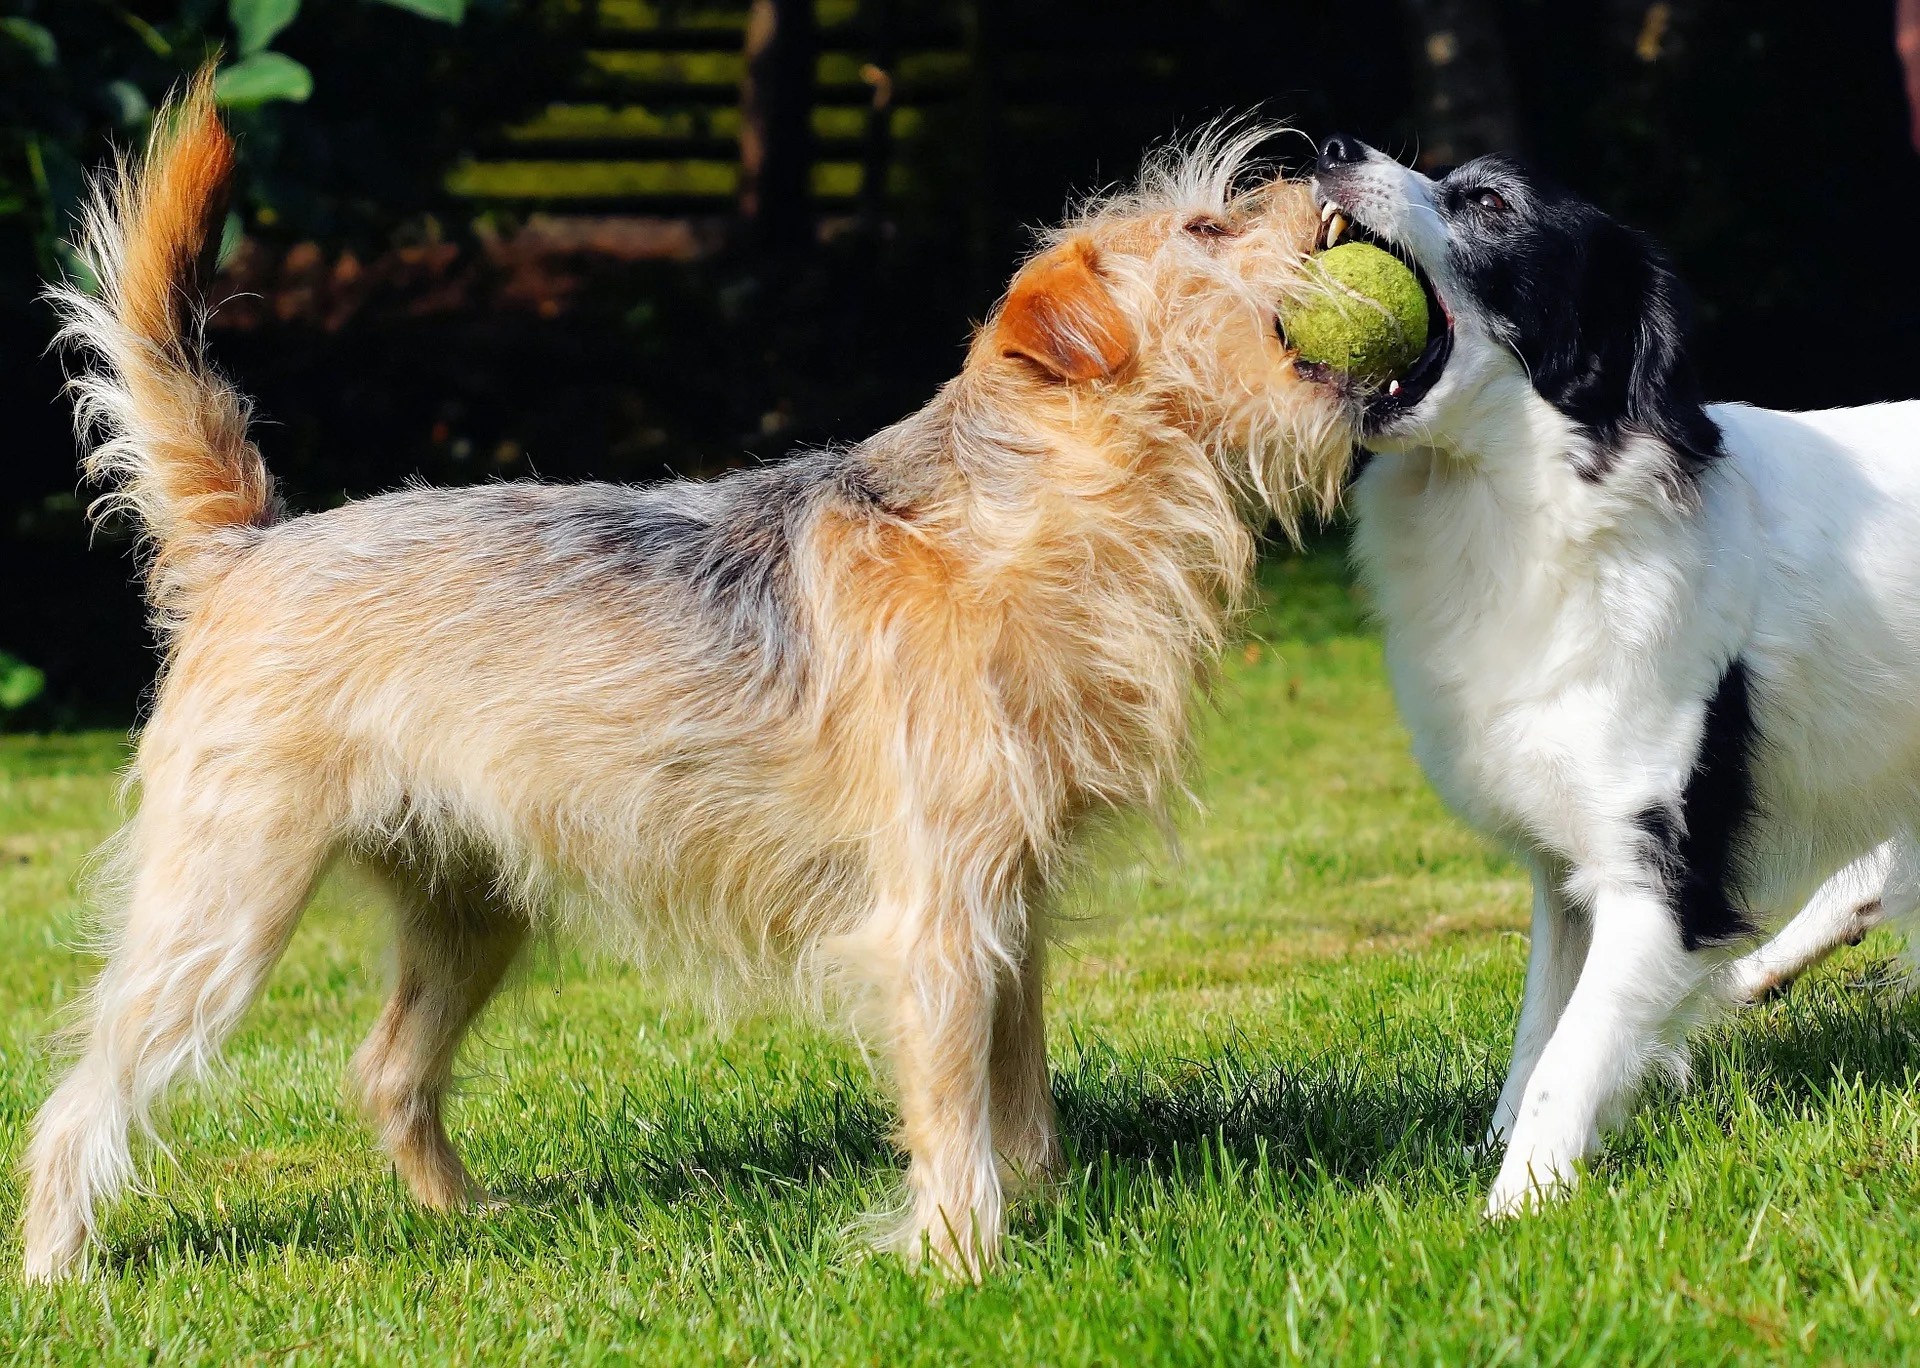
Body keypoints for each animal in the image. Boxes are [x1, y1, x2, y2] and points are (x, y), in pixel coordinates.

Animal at [22, 69, 1359, 1275]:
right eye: (1205, 229)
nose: (1337, 162)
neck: (1017, 518)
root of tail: (249, 547)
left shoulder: (1010, 911)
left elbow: (1019, 1096)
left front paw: (1037, 1217)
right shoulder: (936, 918)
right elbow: (954, 1105)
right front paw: (963, 1265)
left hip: (469, 914)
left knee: (387, 1069)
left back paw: (470, 1223)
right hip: (222, 909)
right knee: (74, 1102)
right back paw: (56, 1271)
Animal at [1313, 133, 1920, 1214]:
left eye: (1490, 203)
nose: (1332, 147)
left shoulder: (1660, 869)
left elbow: (1571, 1052)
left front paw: (1517, 1205)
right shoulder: (1567, 872)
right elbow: (1539, 1033)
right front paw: (1501, 1156)